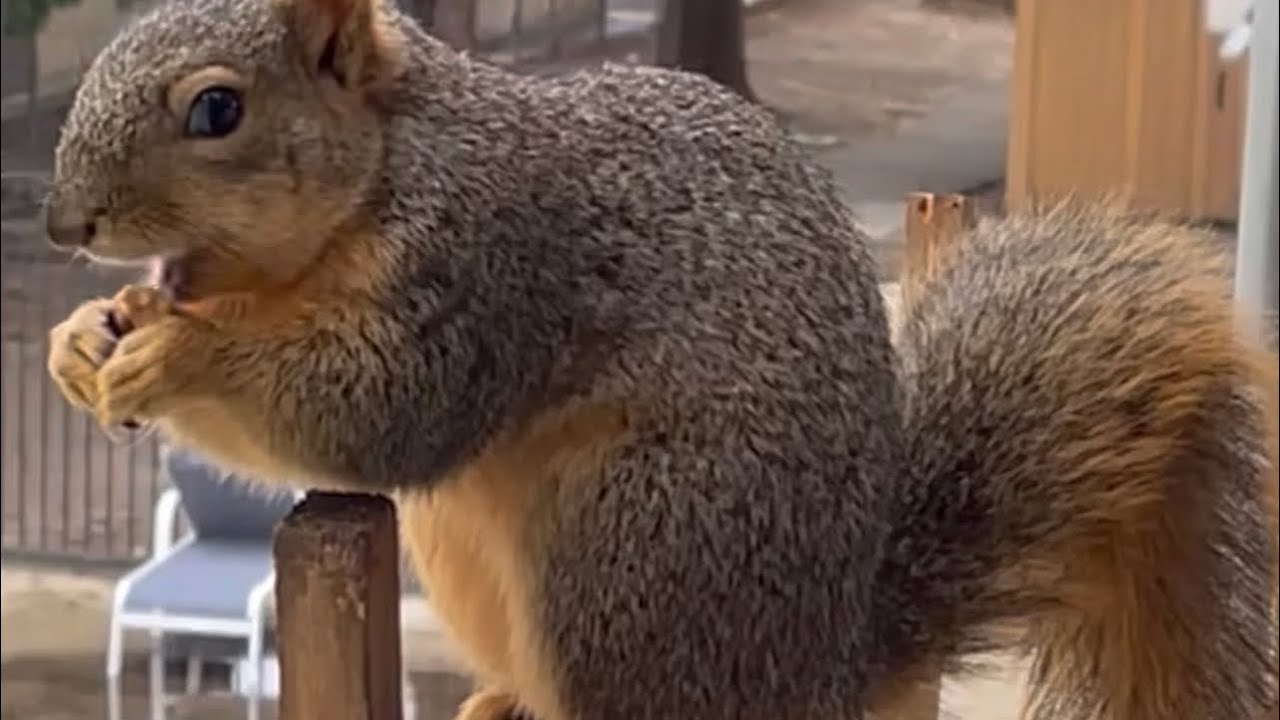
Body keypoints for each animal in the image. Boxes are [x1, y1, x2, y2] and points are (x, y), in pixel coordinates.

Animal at [41, 0, 1277, 718]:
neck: (392, 161)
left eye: (216, 110)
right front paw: (80, 341)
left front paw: (183, 352)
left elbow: (380, 414)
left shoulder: (489, 268)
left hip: (630, 546)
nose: (63, 224)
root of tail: (820, 672)